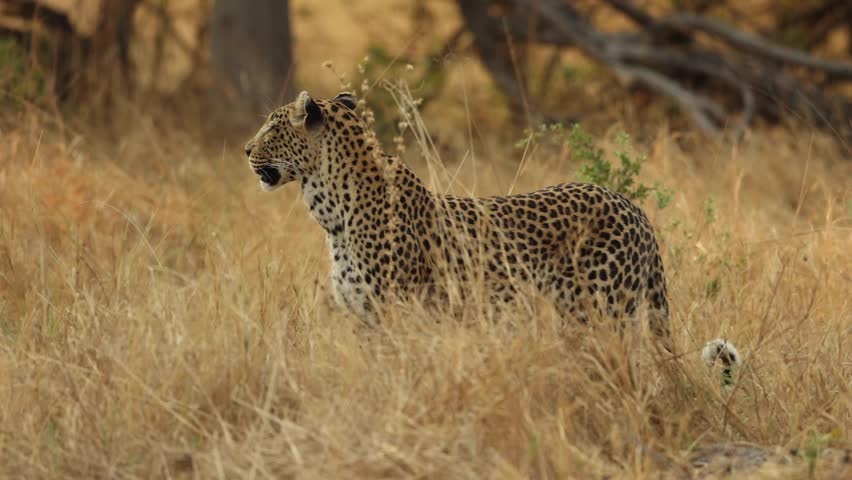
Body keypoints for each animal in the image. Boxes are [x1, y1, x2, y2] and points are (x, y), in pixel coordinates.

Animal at [244, 90, 739, 373]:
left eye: (272, 126)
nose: (246, 149)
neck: (331, 210)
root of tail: (632, 206)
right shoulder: (364, 319)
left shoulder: (399, 316)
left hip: (603, 312)